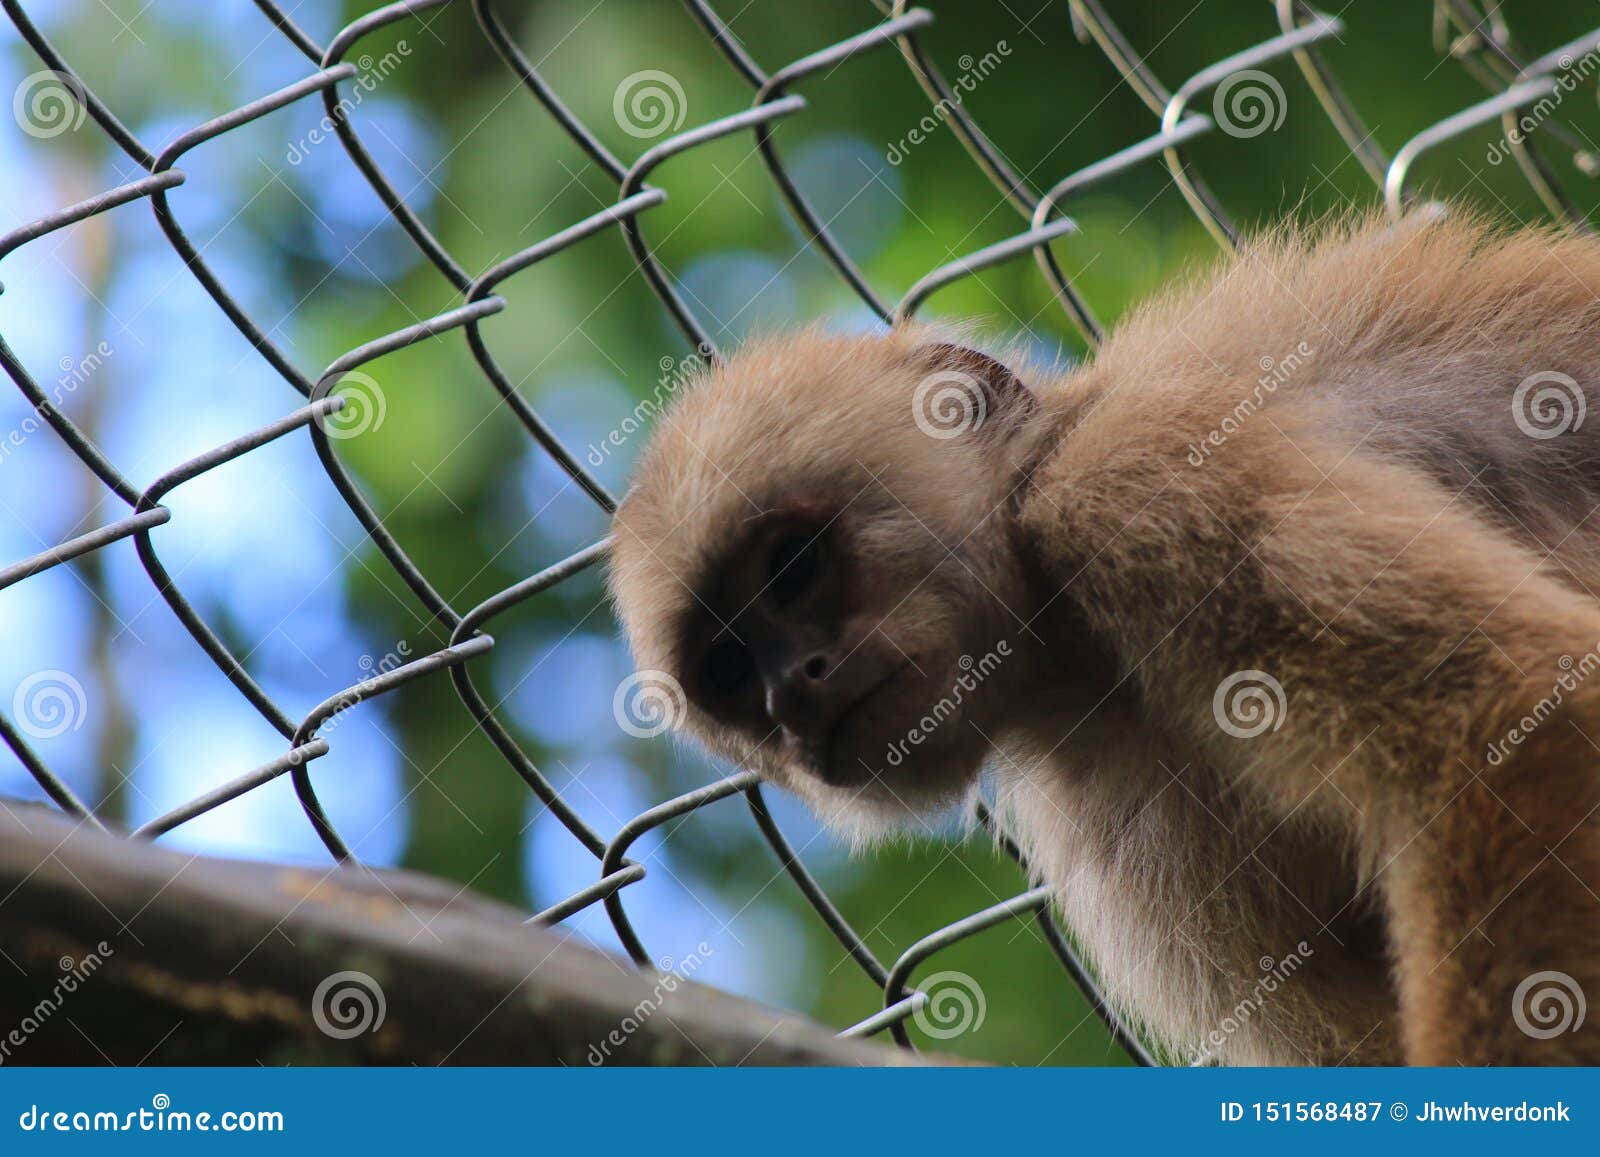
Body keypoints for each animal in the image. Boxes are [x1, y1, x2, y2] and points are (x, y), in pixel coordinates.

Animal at [607, 209, 1600, 1066]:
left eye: (793, 565)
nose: (794, 692)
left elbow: (1514, 715)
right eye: (731, 669)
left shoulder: (1137, 483)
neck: (1070, 646)